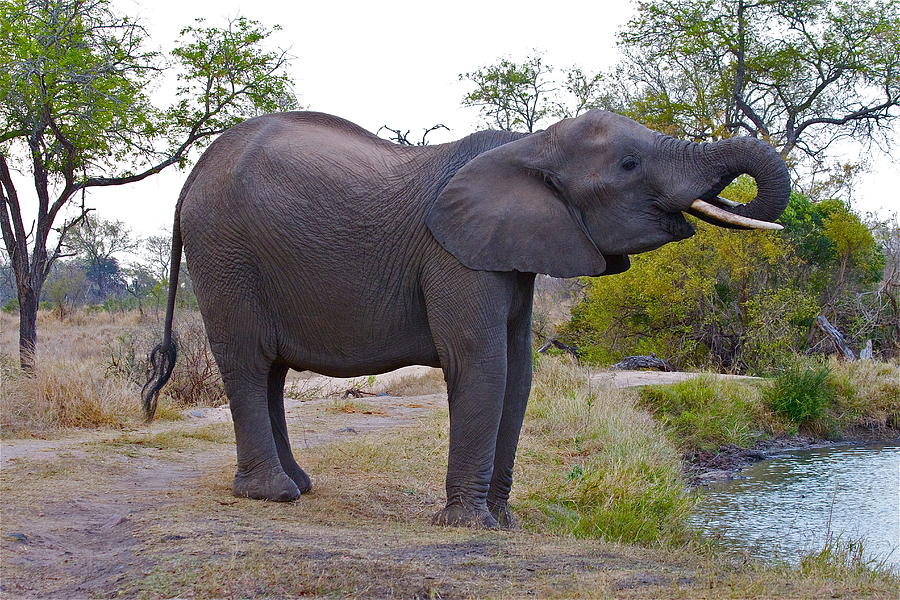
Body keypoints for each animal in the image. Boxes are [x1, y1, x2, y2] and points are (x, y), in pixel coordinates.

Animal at [143, 109, 789, 528]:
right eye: (629, 164)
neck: (531, 146)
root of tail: (189, 178)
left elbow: (519, 370)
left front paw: (503, 522)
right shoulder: (453, 255)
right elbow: (481, 364)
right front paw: (469, 526)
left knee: (272, 371)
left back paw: (298, 485)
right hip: (226, 253)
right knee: (249, 363)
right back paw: (273, 495)